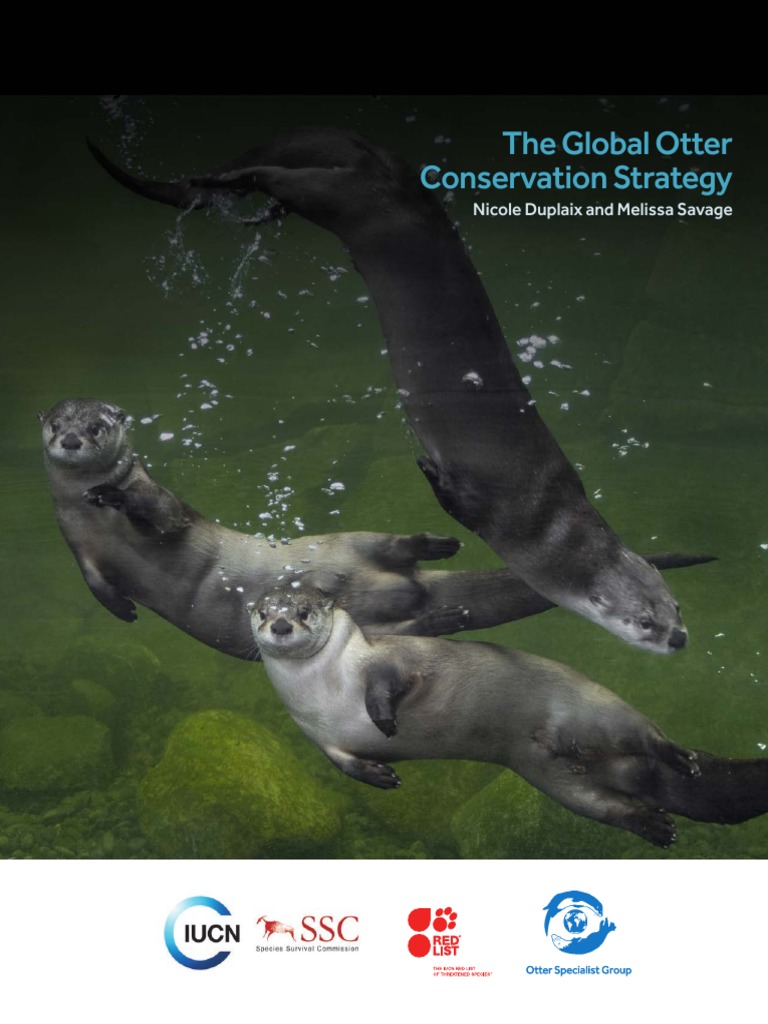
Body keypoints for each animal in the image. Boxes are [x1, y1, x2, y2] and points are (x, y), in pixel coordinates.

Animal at [40, 397, 709, 658]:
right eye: (55, 424)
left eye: (96, 426)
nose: (71, 439)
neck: (93, 521)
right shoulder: (75, 545)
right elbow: (95, 583)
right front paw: (123, 610)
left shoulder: (166, 505)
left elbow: (163, 517)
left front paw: (114, 492)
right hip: (379, 622)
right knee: (412, 624)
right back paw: (442, 615)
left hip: (347, 544)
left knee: (390, 547)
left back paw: (438, 542)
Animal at [88, 128, 691, 654]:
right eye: (643, 621)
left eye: (675, 607)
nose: (679, 638)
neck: (540, 510)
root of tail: (384, 170)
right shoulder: (483, 505)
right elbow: (449, 495)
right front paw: (425, 468)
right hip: (349, 202)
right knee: (273, 176)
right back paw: (224, 179)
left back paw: (261, 208)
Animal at [252, 585, 768, 848]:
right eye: (260, 612)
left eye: (302, 611)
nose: (280, 624)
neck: (324, 688)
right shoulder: (320, 738)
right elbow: (344, 763)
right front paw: (382, 776)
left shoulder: (388, 661)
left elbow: (388, 686)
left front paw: (384, 722)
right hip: (557, 783)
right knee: (611, 809)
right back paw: (656, 828)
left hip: (601, 710)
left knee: (650, 735)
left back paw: (682, 760)